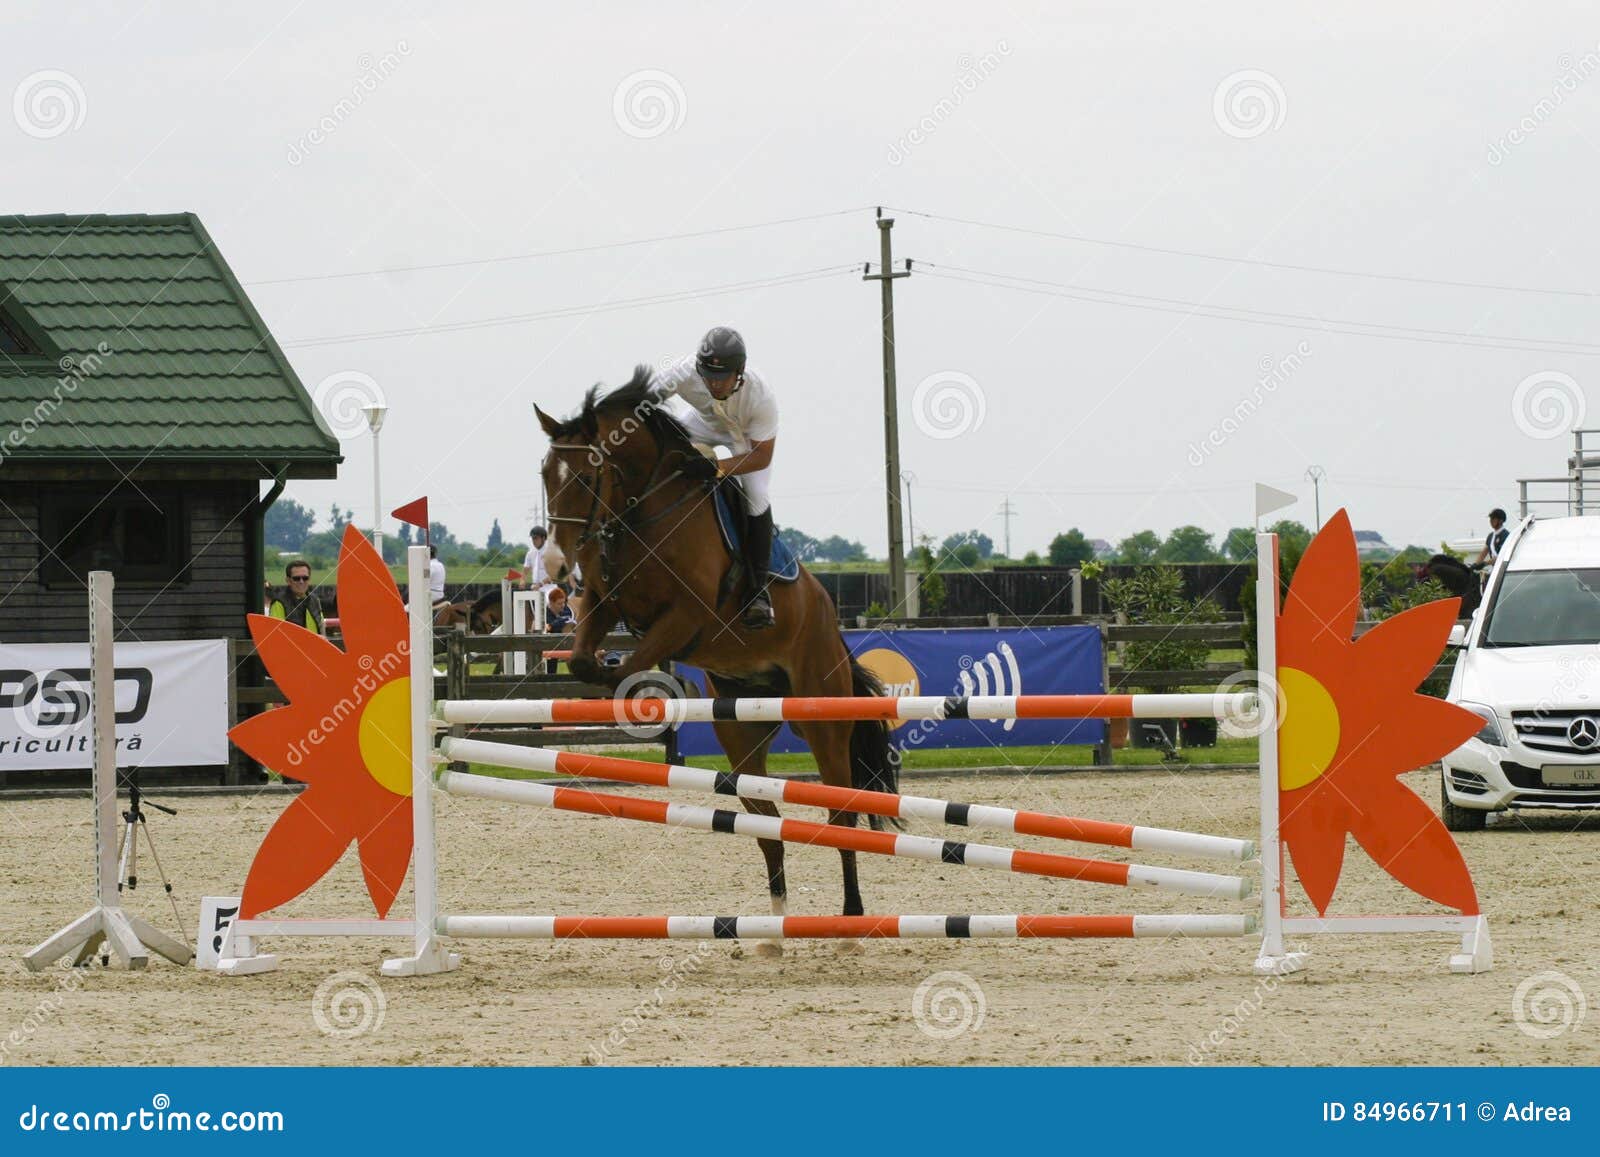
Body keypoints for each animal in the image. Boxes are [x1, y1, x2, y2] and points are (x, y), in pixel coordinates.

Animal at [534, 366, 900, 943]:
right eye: (547, 475)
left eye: (589, 477)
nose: (552, 562)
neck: (642, 508)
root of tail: (827, 612)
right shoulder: (601, 602)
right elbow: (582, 659)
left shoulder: (686, 618)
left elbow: (627, 665)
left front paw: (650, 692)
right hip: (741, 727)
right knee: (765, 820)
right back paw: (773, 927)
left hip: (822, 718)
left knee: (842, 815)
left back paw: (850, 916)